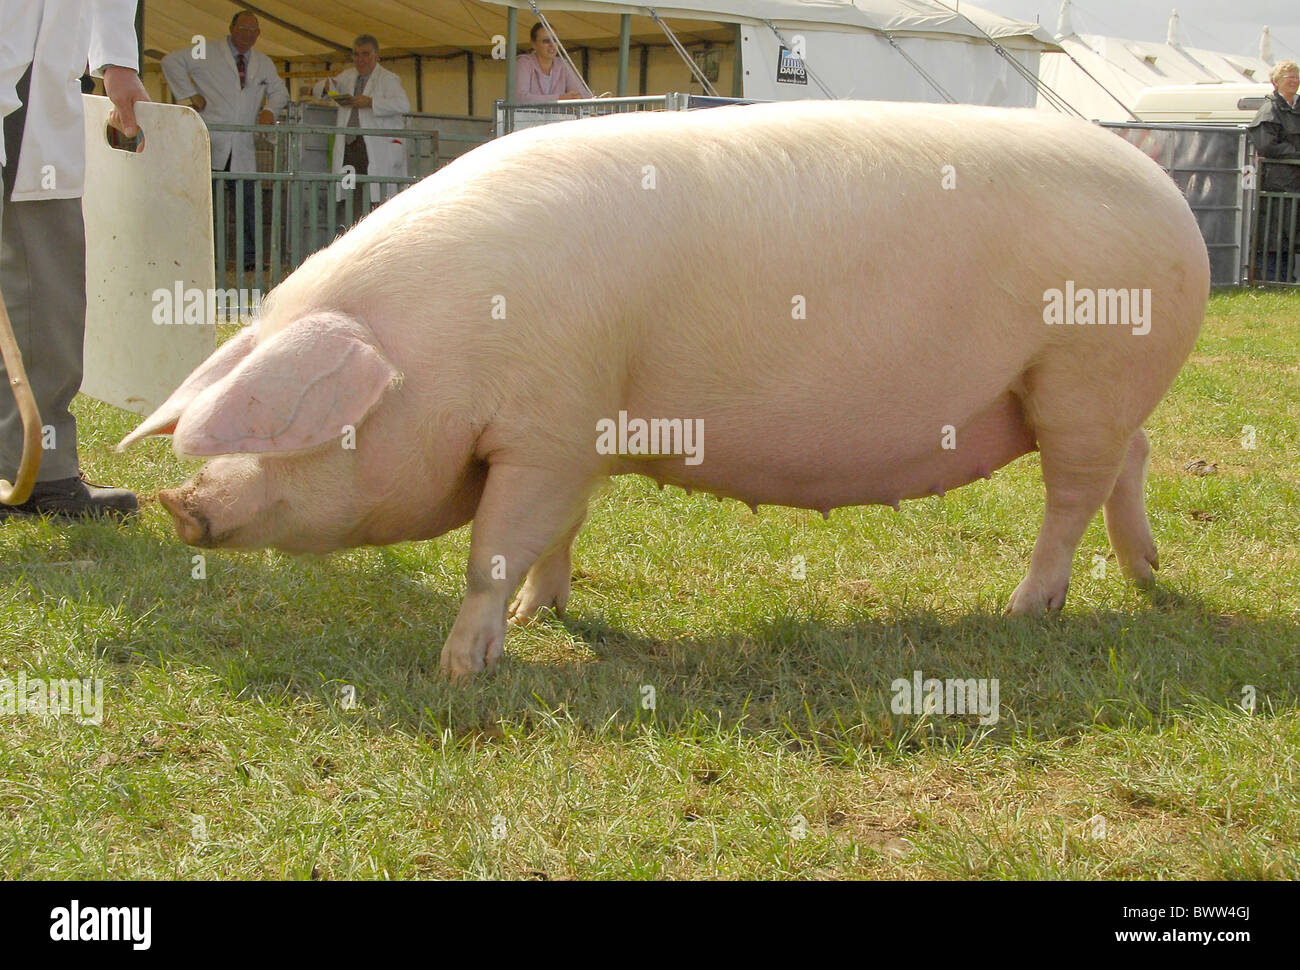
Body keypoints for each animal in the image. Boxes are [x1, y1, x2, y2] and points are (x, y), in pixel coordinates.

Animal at [119, 100, 1210, 681]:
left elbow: (490, 553)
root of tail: (1174, 204)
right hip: (1091, 390)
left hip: (1083, 369)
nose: (180, 504)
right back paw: (1147, 577)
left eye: (300, 427)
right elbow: (554, 536)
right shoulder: (577, 431)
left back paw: (1023, 610)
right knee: (1133, 458)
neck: (446, 349)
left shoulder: (547, 428)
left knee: (1069, 497)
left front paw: (461, 666)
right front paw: (543, 617)